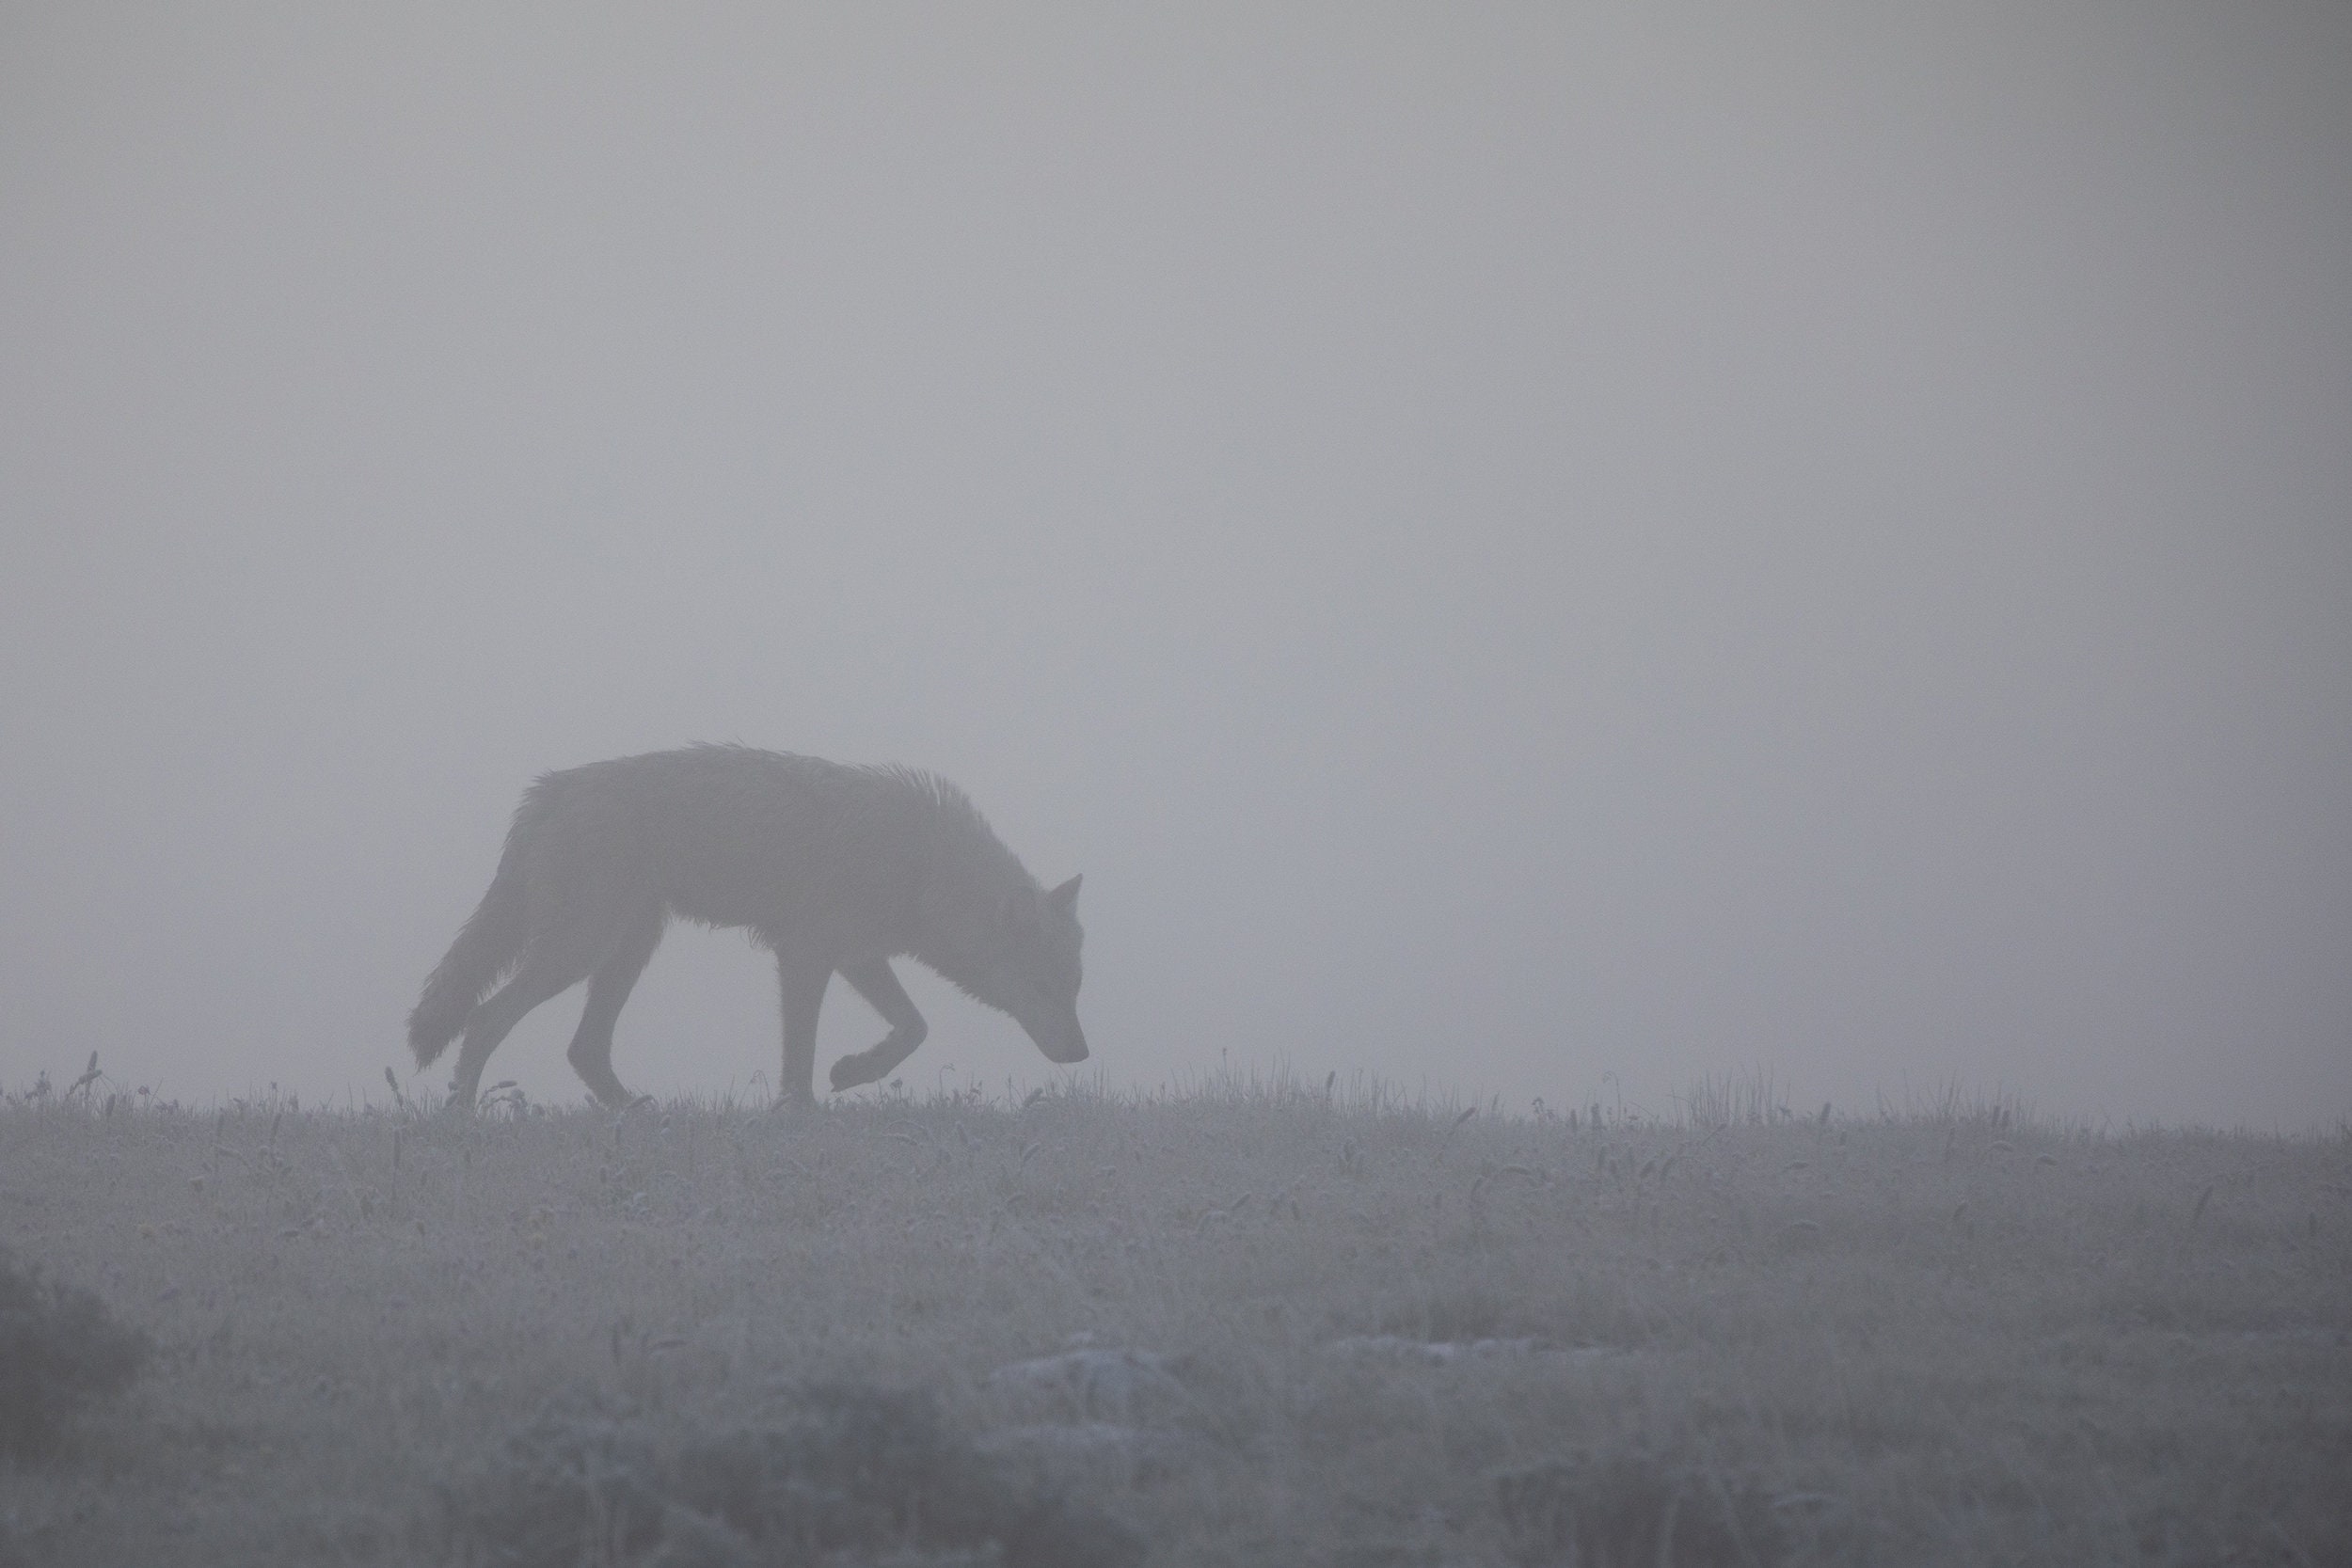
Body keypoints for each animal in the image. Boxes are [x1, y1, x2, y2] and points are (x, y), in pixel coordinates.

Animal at [407, 746, 1086, 1110]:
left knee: (584, 1048)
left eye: (1075, 987)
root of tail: (548, 791)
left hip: (627, 949)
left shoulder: (857, 957)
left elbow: (914, 1028)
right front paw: (800, 1109)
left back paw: (637, 1112)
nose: (1082, 1053)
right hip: (579, 951)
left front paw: (852, 1073)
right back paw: (461, 1117)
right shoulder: (808, 953)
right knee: (485, 1019)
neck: (926, 866)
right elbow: (804, 1053)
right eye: (1047, 987)